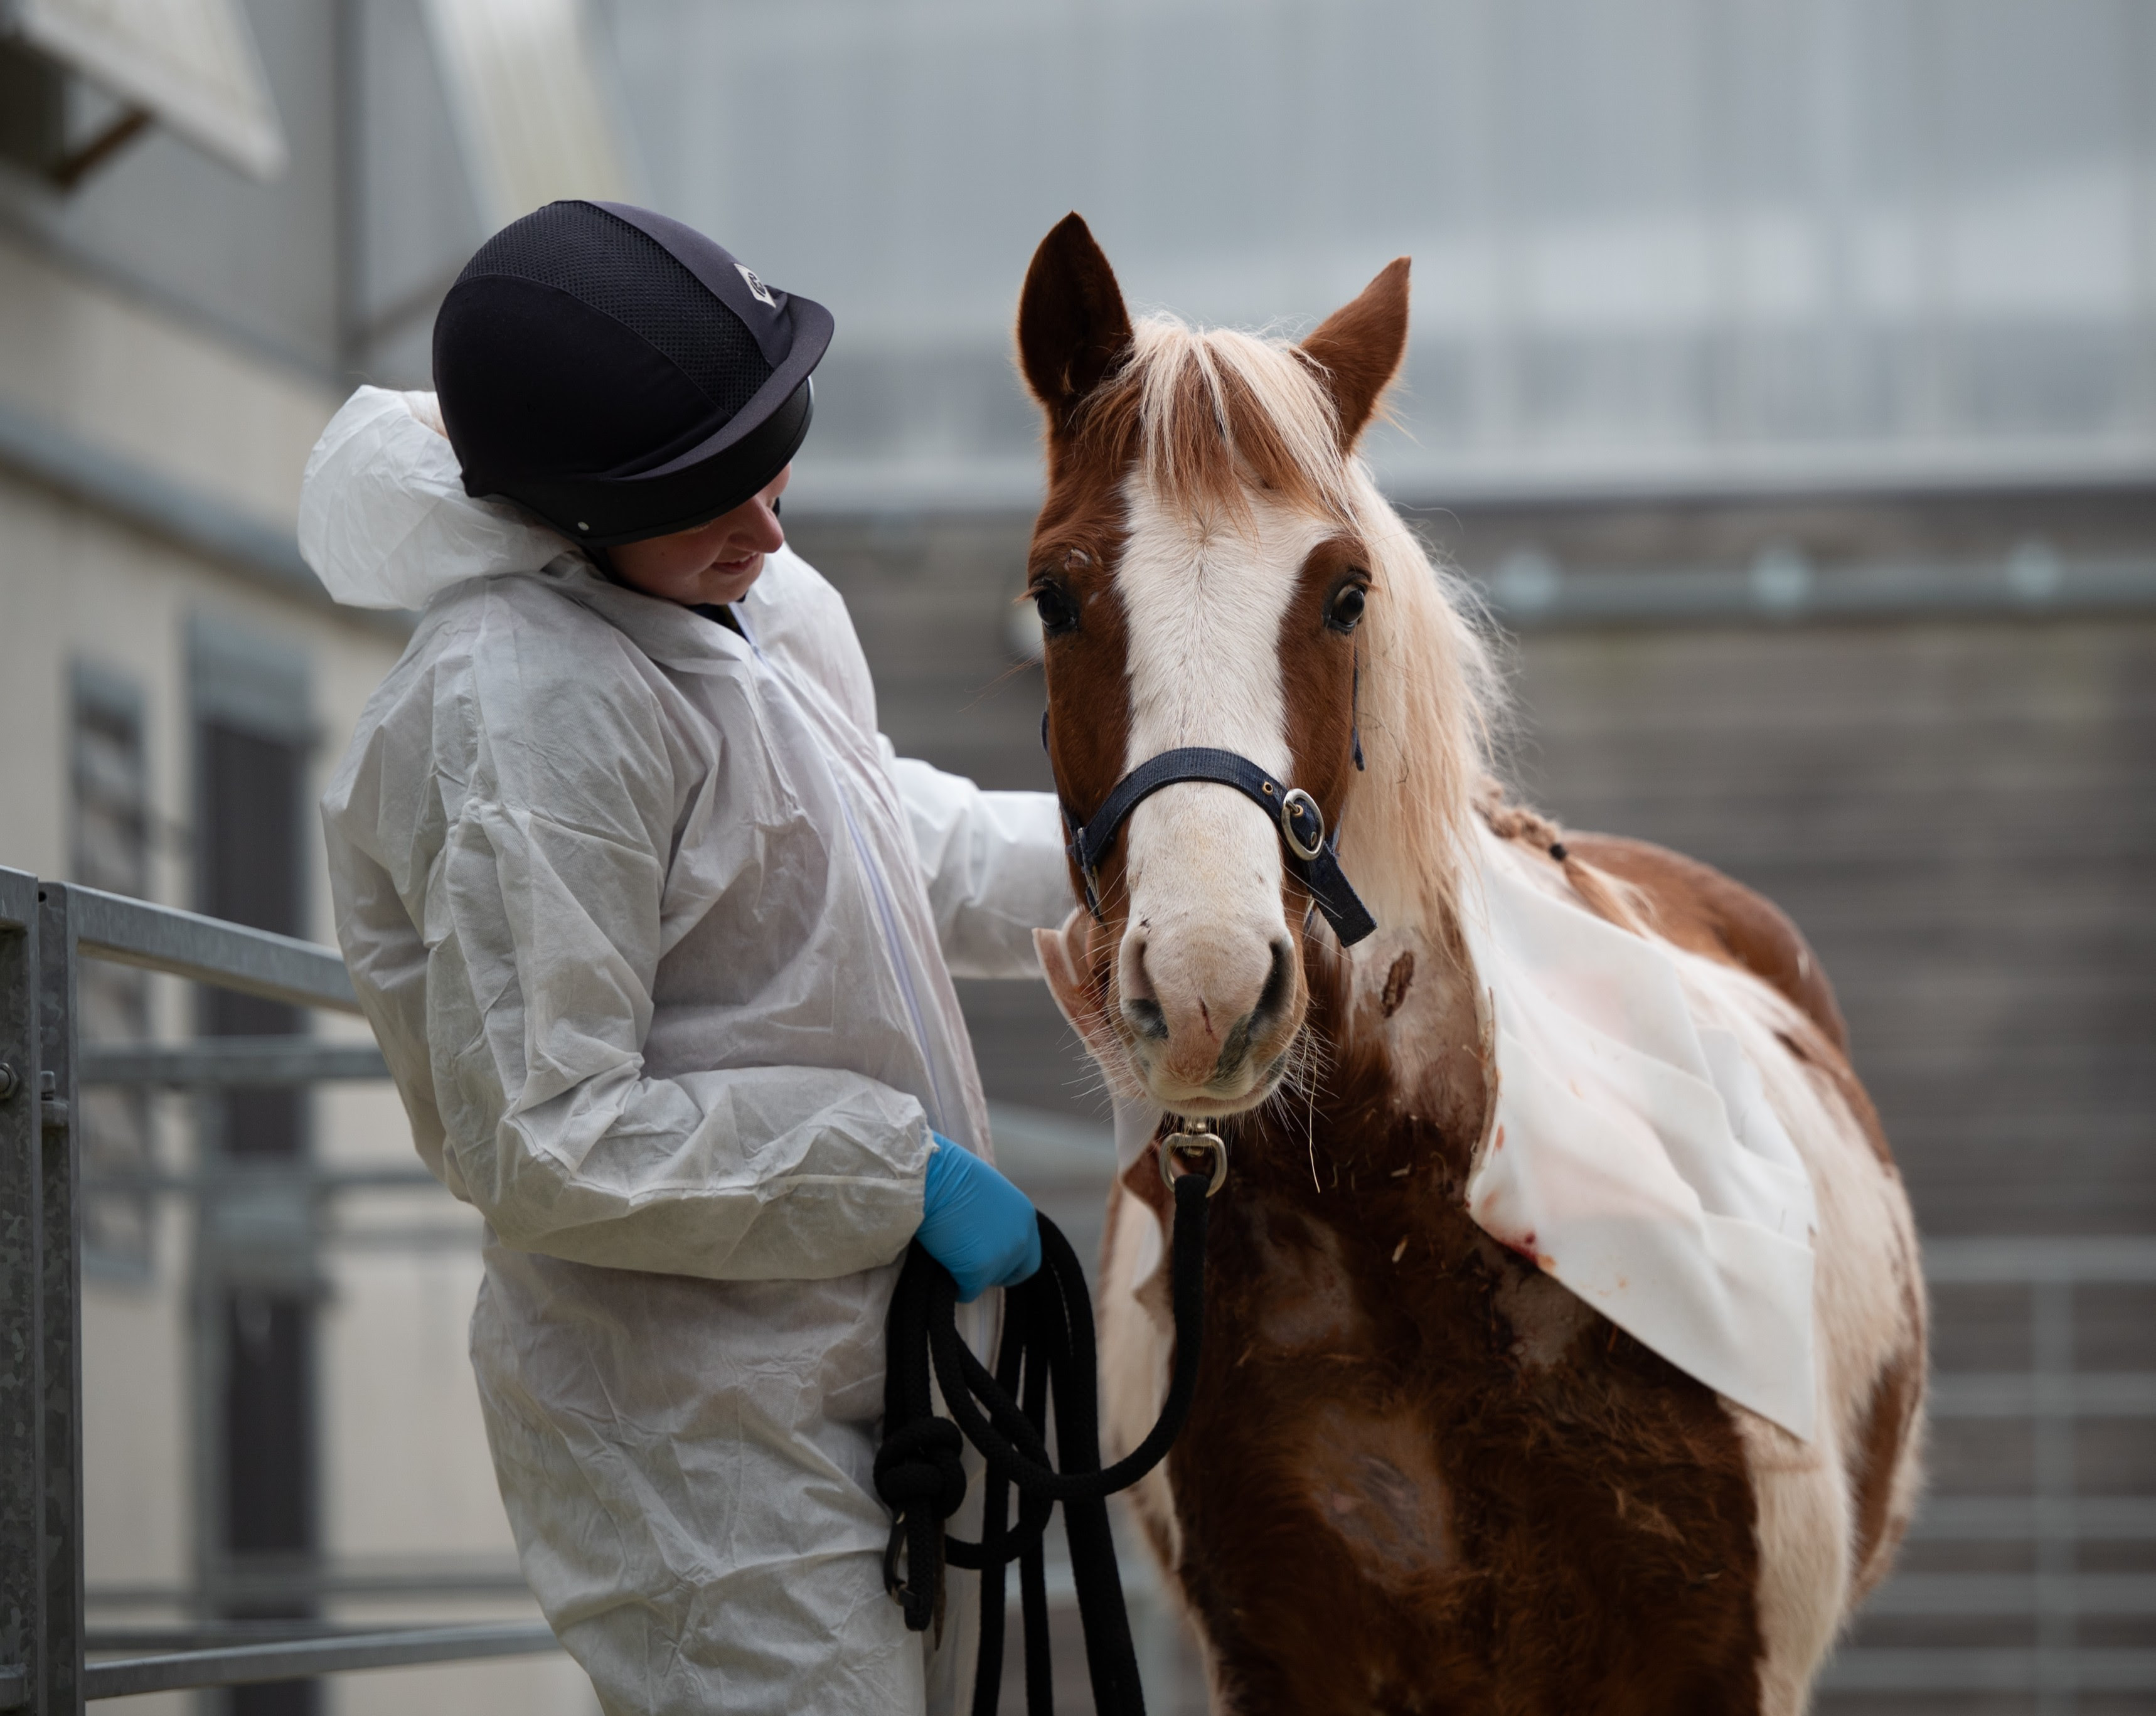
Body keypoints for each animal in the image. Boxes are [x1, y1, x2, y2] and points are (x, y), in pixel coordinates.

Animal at [1012, 214, 1927, 1716]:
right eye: (1053, 595)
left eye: (1344, 595)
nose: (1206, 984)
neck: (1405, 1210)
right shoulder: (1284, 1663)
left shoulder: (1710, 1670)